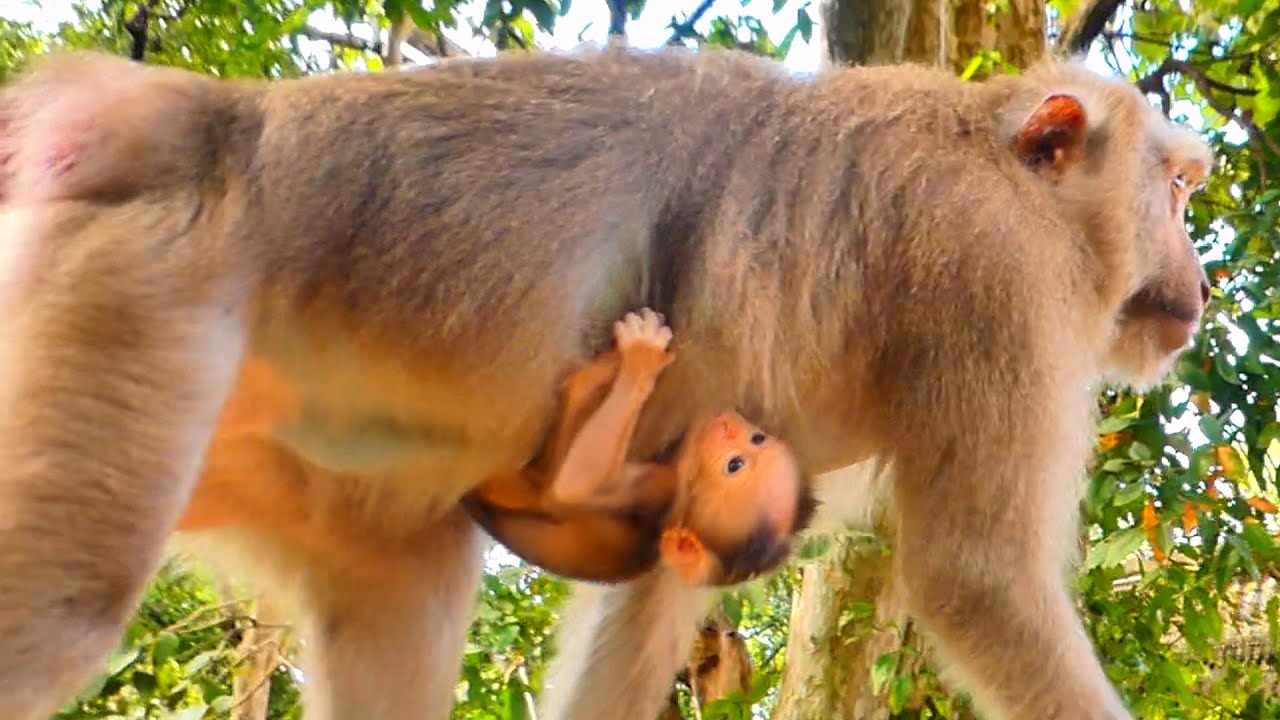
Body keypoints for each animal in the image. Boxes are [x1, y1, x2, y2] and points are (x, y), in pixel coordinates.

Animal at [0, 44, 1212, 720]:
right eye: (1176, 190)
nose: (1198, 276)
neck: (997, 163)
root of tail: (209, 125)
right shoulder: (997, 279)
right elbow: (978, 580)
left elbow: (660, 582)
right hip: (143, 288)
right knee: (61, 616)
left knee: (404, 590)